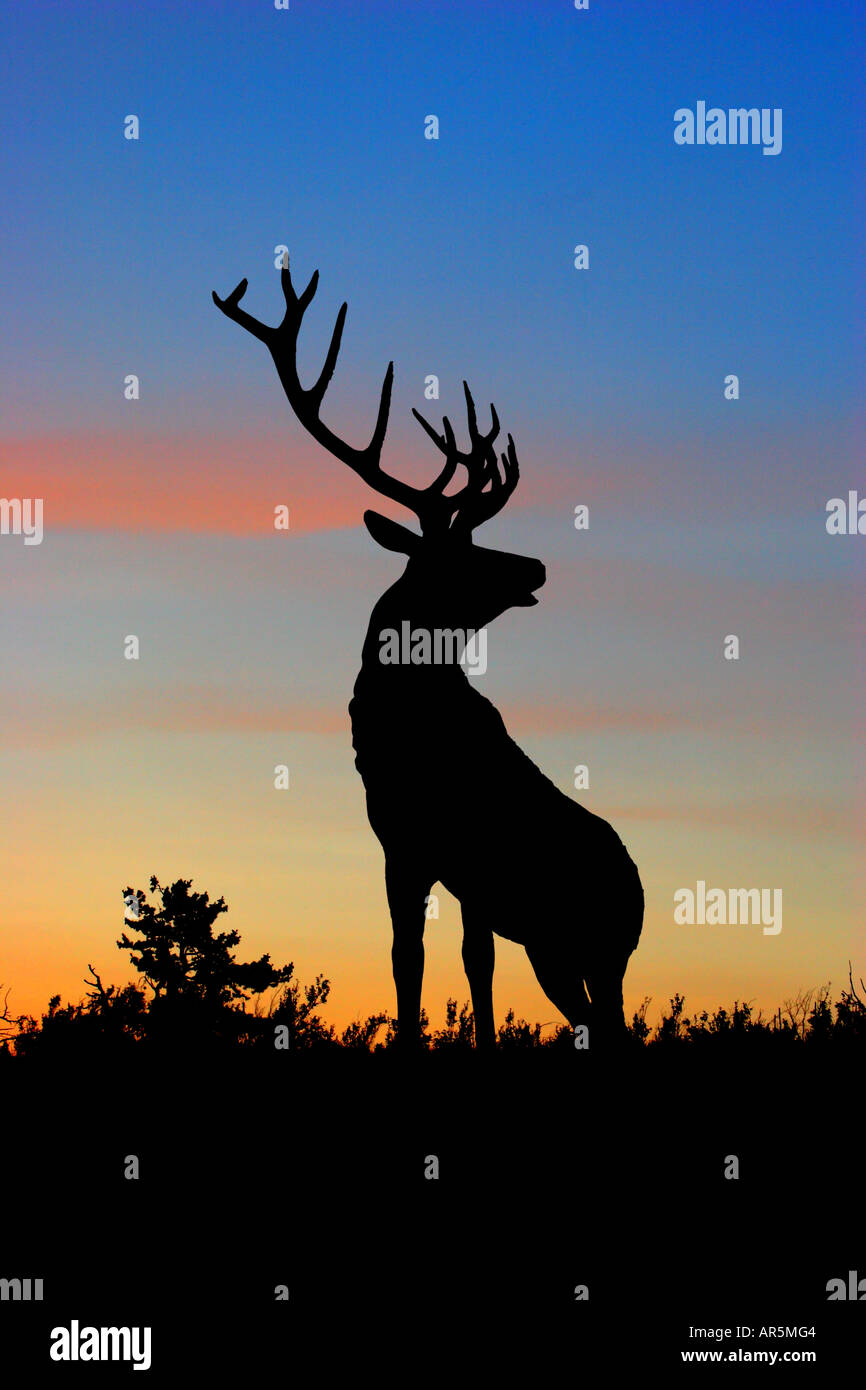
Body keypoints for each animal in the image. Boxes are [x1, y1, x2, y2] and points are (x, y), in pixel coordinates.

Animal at [213, 253, 644, 1050]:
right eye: (457, 554)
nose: (536, 566)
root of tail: (641, 895)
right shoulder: (406, 844)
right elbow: (419, 960)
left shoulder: (452, 846)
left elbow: (458, 962)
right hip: (557, 951)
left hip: (600, 950)